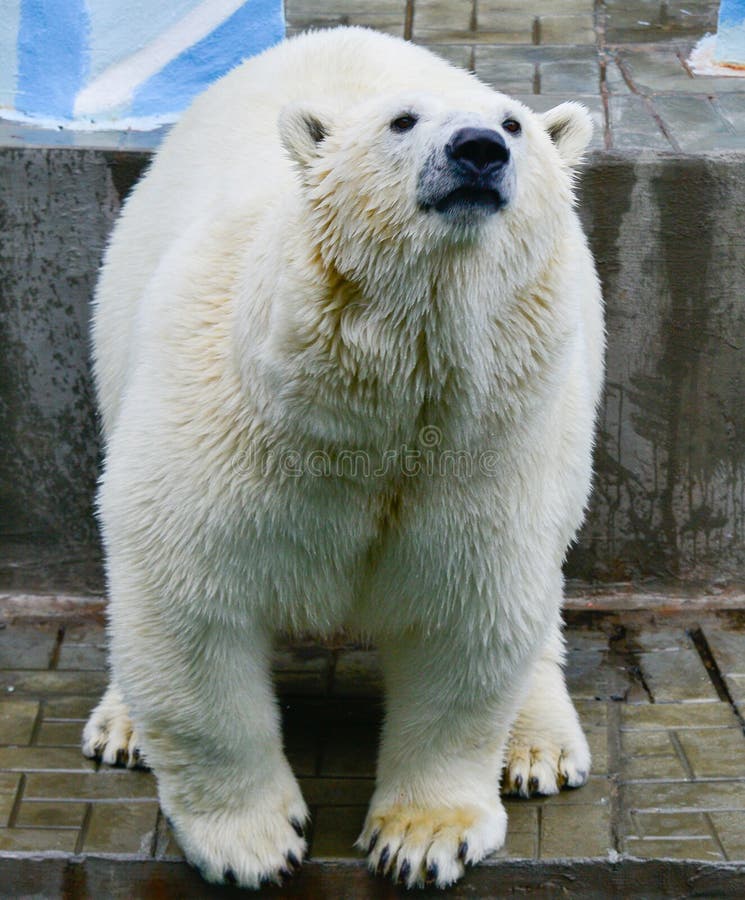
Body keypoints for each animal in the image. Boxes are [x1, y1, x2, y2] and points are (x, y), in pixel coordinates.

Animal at [82, 26, 603, 890]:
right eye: (401, 121)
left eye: (514, 123)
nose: (478, 149)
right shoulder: (233, 431)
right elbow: (189, 608)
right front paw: (253, 845)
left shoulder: (485, 450)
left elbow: (468, 619)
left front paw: (423, 840)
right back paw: (120, 726)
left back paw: (540, 748)